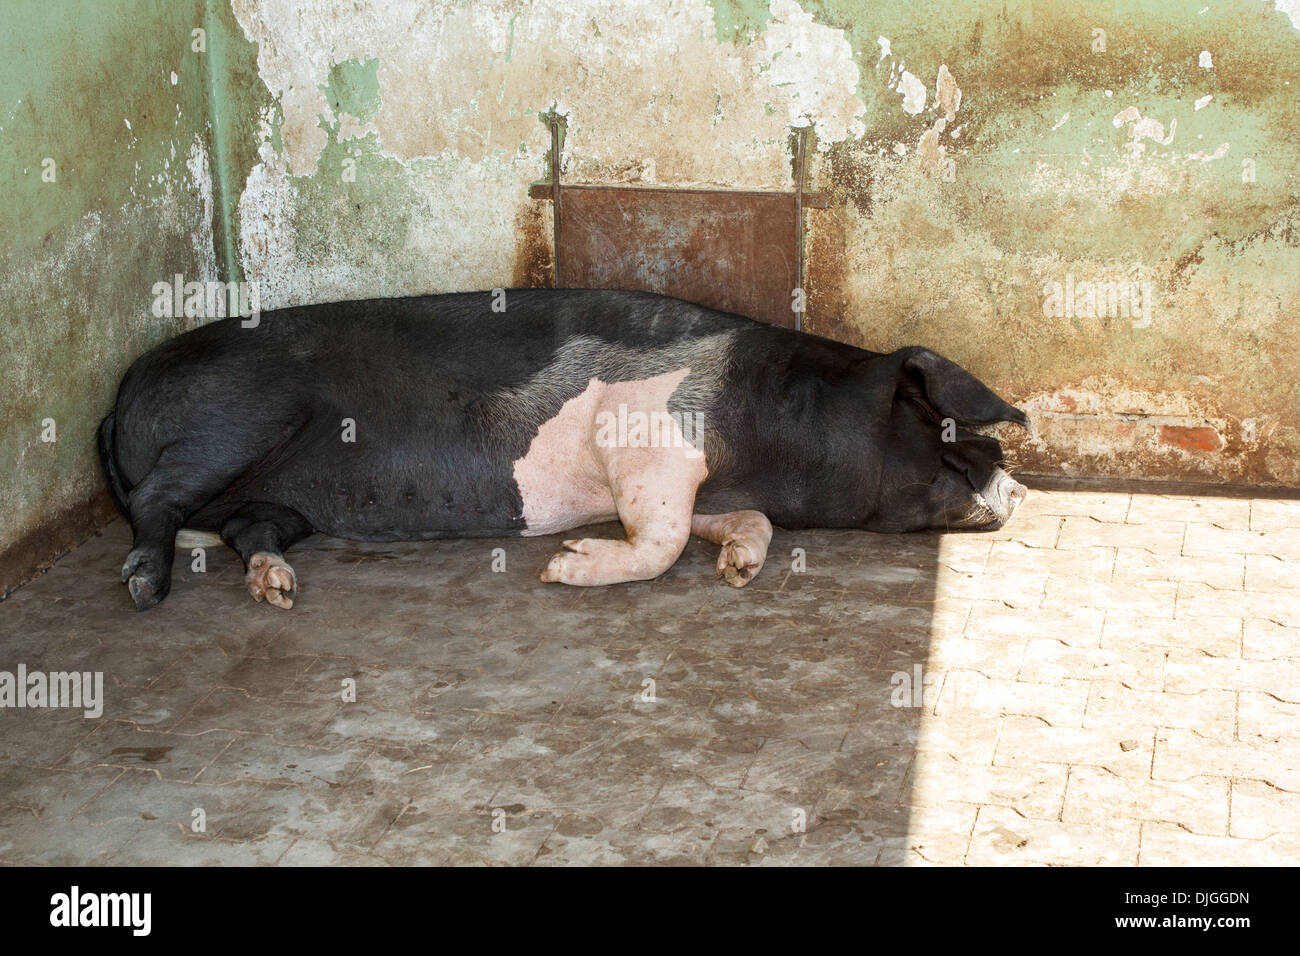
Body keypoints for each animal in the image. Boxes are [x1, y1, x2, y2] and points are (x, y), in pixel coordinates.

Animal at [98, 289, 1029, 610]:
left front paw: (739, 568)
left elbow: (736, 524)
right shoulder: (648, 437)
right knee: (154, 502)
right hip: (241, 416)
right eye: (942, 424)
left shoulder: (712, 489)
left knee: (246, 529)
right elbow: (657, 540)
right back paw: (144, 586)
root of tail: (118, 397)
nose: (1017, 484)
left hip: (281, 498)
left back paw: (279, 589)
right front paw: (563, 567)